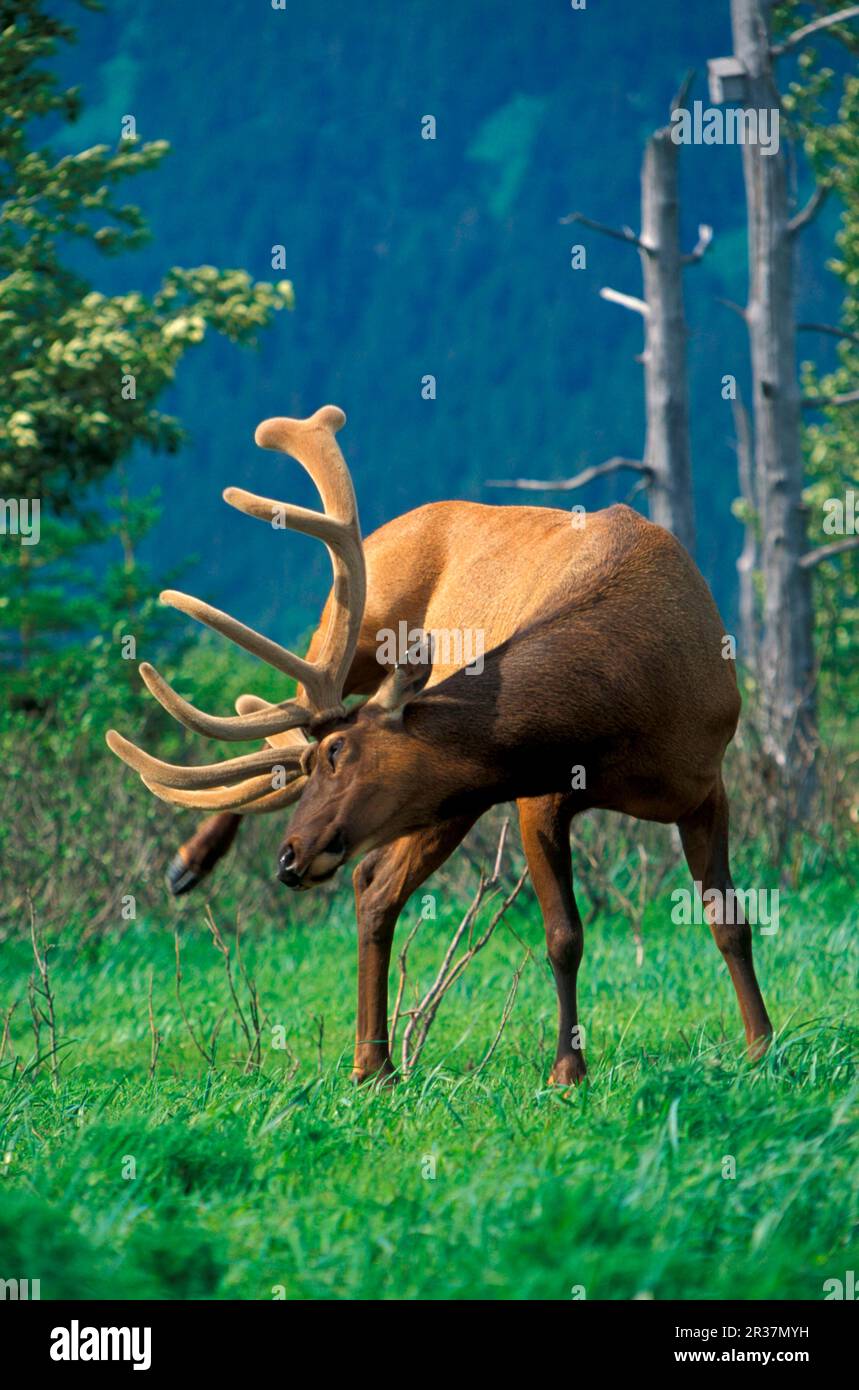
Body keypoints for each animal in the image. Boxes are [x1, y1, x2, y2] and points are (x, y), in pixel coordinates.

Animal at [106, 405, 773, 1086]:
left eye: (337, 755)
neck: (626, 713)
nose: (289, 858)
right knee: (288, 730)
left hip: (449, 800)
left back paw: (373, 1063)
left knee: (372, 880)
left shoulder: (707, 784)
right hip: (361, 635)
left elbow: (730, 919)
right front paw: (567, 1069)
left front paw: (759, 1043)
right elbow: (564, 934)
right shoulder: (539, 794)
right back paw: (190, 865)